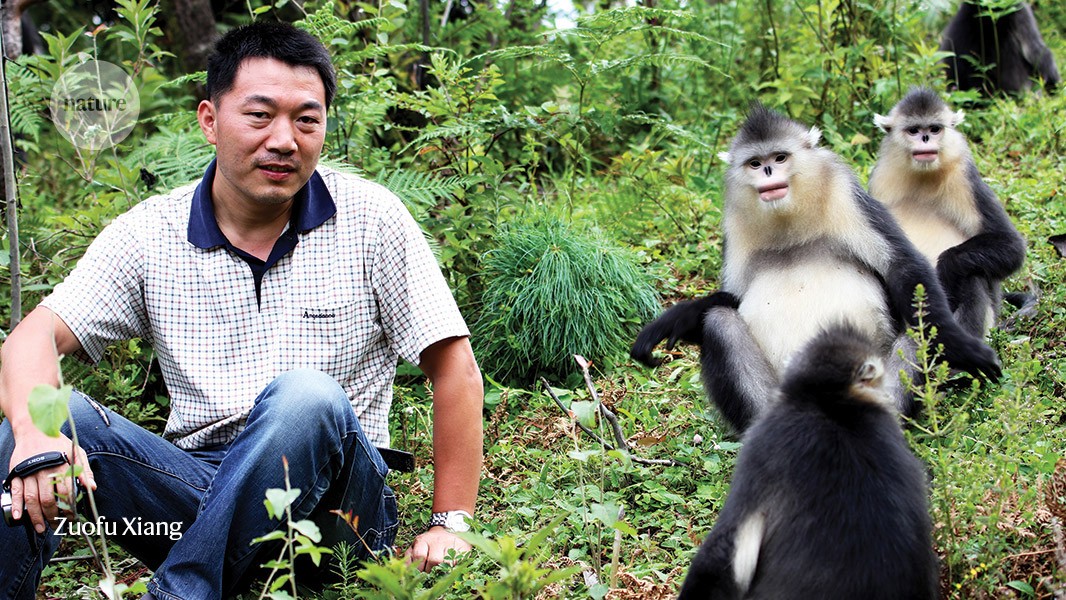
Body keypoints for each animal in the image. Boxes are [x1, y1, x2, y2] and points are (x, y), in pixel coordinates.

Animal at [631, 105, 1001, 432]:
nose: (768, 173)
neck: (789, 221)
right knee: (720, 321)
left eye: (780, 158)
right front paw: (677, 319)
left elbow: (903, 269)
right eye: (755, 163)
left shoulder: (845, 192)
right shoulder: (734, 224)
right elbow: (731, 299)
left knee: (918, 326)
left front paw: (963, 348)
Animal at [869, 87, 1027, 339]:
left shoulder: (964, 178)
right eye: (914, 130)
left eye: (934, 129)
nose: (925, 139)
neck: (922, 177)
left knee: (973, 275)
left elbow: (1011, 245)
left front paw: (944, 274)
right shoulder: (879, 183)